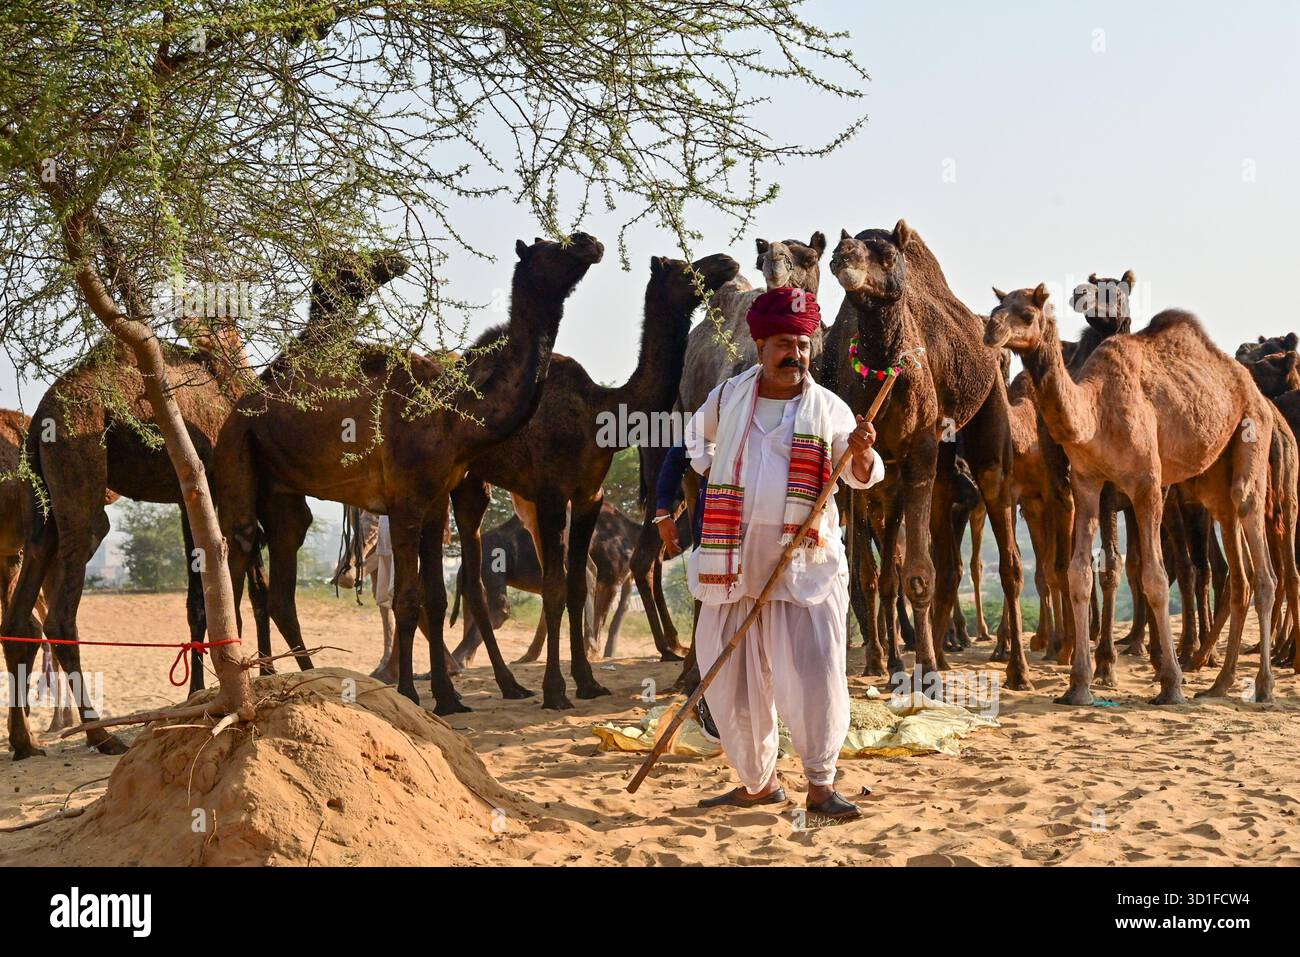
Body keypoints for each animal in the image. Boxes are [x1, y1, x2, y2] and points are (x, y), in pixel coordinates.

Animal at [215, 233, 604, 715]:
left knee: (283, 585)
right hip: (237, 450)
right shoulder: (404, 502)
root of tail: (239, 407)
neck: (454, 417)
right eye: (552, 246)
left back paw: (310, 681)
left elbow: (435, 598)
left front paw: (449, 698)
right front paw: (410, 694)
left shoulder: (436, 501)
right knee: (239, 550)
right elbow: (406, 598)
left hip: (282, 493)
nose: (591, 242)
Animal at [449, 251, 738, 709]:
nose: (726, 261)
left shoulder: (590, 495)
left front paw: (586, 682)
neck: (600, 410)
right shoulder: (552, 493)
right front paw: (555, 691)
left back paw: (508, 684)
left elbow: (576, 587)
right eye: (680, 266)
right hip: (463, 480)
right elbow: (553, 587)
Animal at [828, 221, 1029, 691]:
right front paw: (887, 663)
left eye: (886, 256)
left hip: (986, 424)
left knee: (1008, 559)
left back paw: (1017, 669)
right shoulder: (864, 470)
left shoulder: (918, 452)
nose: (843, 255)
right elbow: (868, 575)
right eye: (840, 249)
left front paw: (925, 671)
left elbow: (917, 574)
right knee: (946, 562)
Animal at [986, 286, 1277, 704]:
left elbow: (1154, 577)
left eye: (1026, 314)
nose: (991, 331)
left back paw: (1263, 686)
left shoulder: (1147, 484)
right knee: (1239, 566)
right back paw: (1220, 683)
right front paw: (1078, 686)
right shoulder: (1086, 484)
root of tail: (1250, 385)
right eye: (998, 305)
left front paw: (1170, 684)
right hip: (1215, 477)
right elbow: (1078, 574)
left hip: (1252, 429)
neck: (1095, 412)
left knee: (1253, 529)